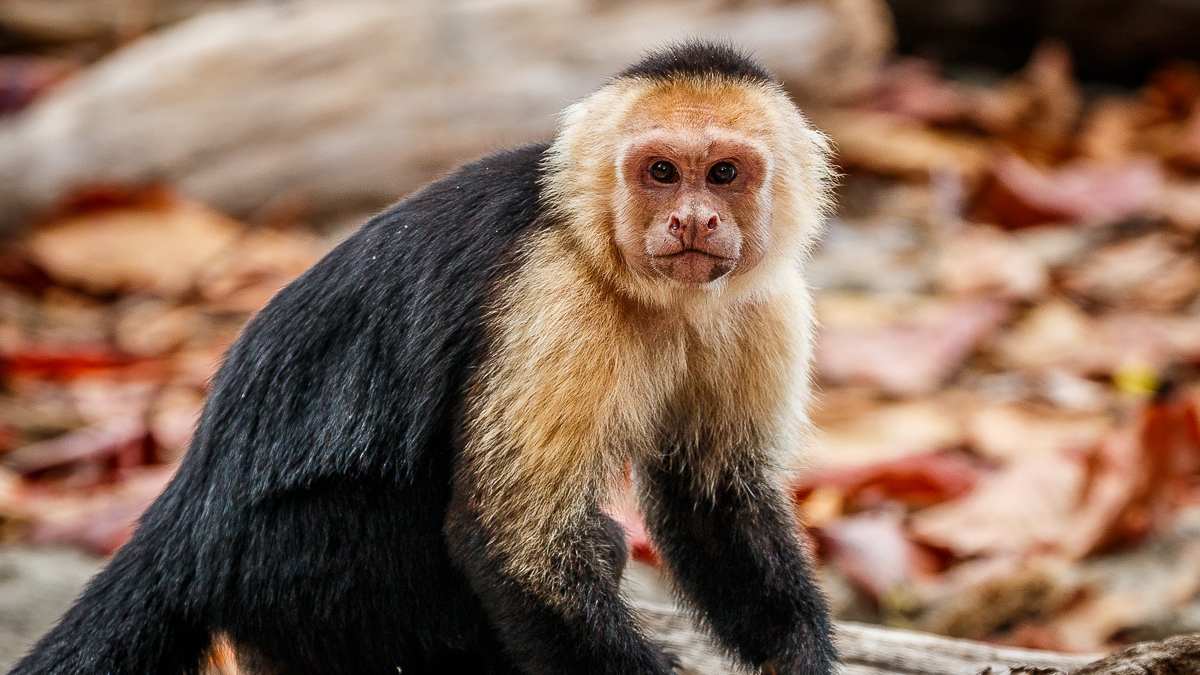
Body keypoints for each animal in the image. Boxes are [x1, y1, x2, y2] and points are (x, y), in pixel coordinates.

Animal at [11, 42, 836, 675]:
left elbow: (715, 499)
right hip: (289, 563)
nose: (693, 219)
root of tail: (184, 519)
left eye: (723, 174)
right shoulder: (556, 291)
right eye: (661, 171)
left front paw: (796, 654)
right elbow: (513, 538)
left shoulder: (766, 304)